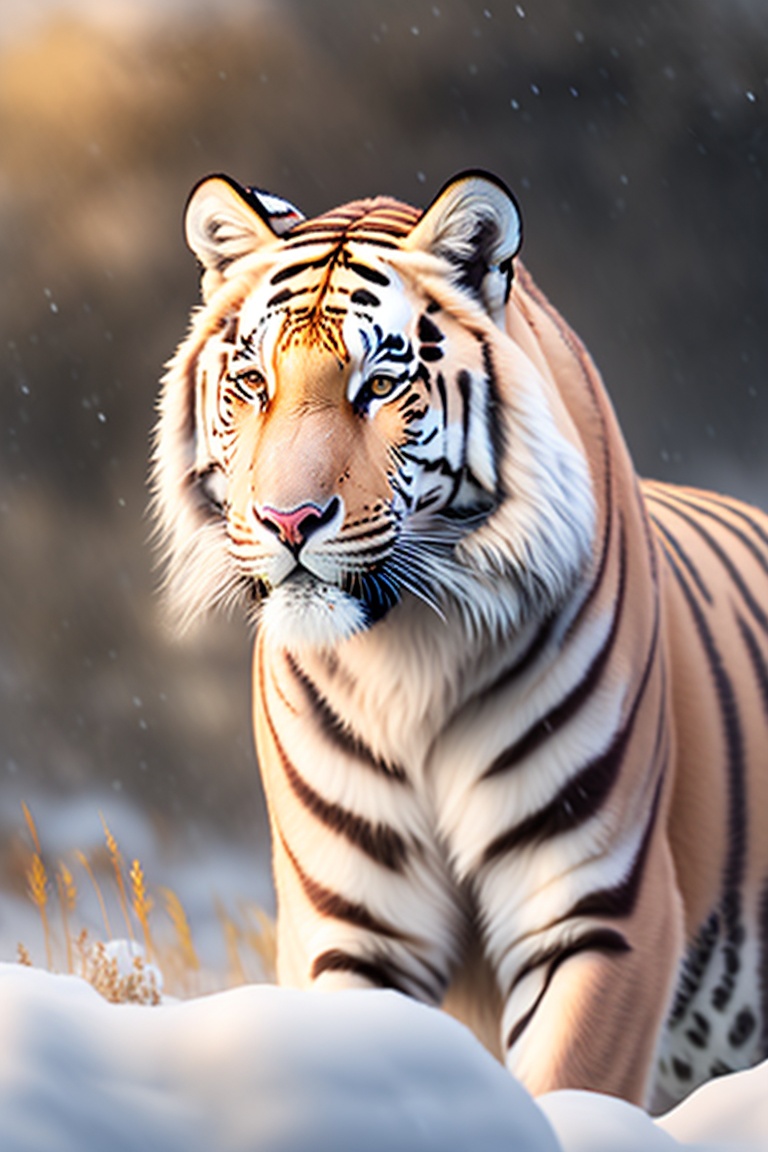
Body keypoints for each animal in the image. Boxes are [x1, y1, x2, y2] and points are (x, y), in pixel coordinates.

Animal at [152, 169, 768, 1111]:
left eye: (378, 386)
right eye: (252, 381)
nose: (287, 520)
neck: (407, 650)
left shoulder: (597, 905)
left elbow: (569, 1091)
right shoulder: (350, 920)